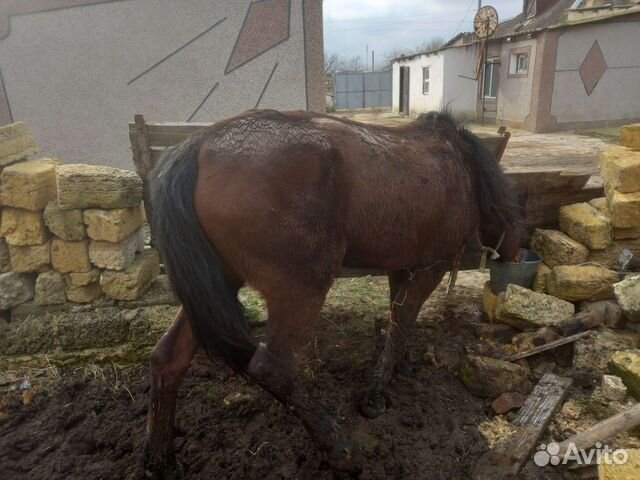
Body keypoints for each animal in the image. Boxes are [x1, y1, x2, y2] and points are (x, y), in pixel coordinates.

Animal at [142, 109, 521, 478]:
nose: (515, 258)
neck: (461, 164)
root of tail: (199, 146)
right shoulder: (429, 266)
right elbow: (400, 324)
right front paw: (376, 396)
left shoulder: (402, 267)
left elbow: (399, 322)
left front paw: (400, 368)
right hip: (300, 289)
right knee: (272, 368)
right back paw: (337, 446)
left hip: (214, 286)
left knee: (167, 359)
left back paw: (159, 460)